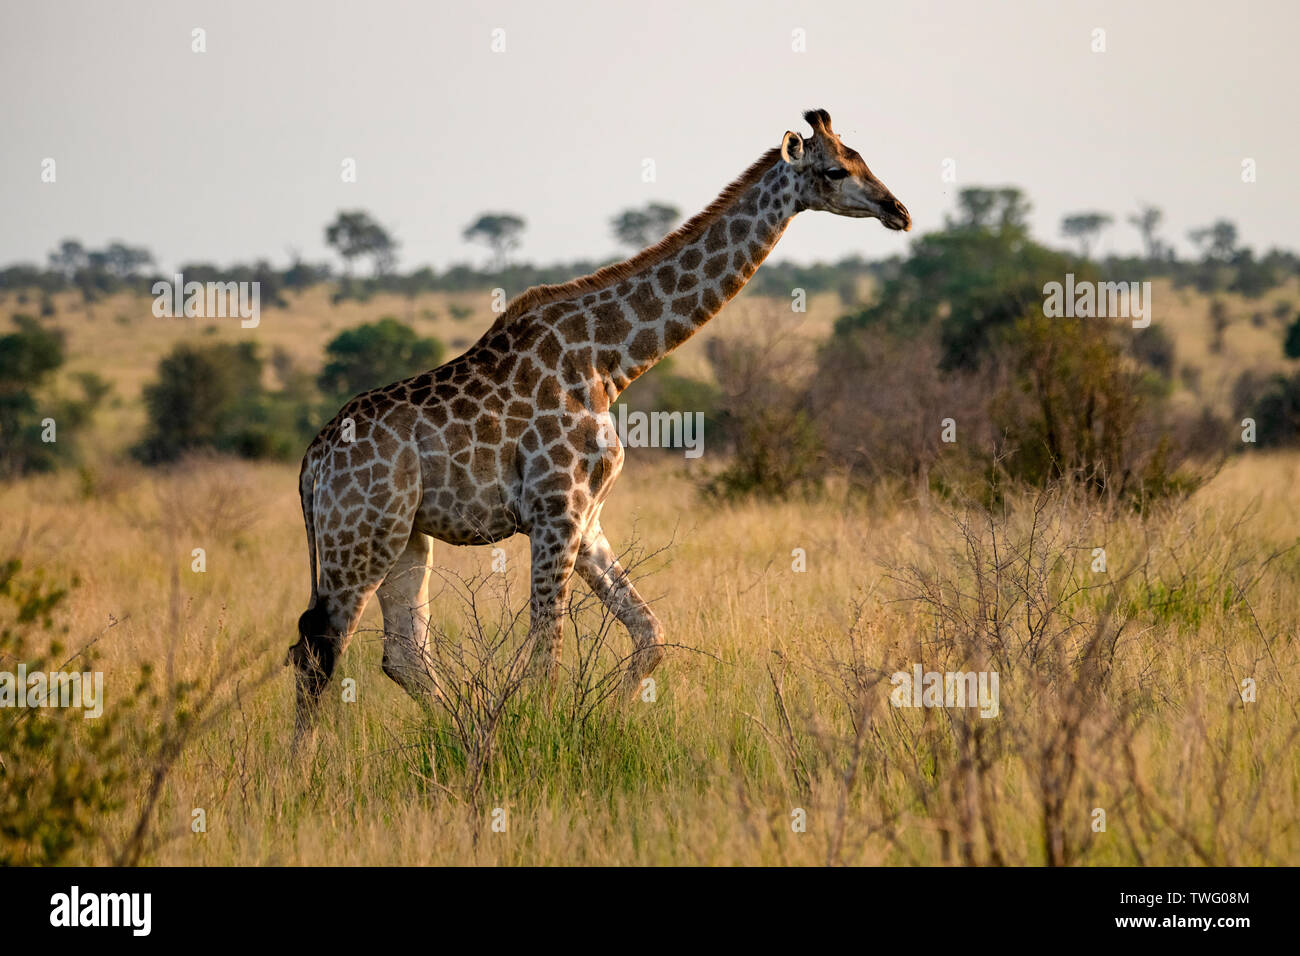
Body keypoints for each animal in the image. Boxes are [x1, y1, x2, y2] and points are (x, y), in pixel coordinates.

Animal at [285, 109, 910, 736]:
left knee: (403, 653)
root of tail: (312, 462)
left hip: (404, 536)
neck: (609, 362)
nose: (899, 211)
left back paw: (465, 738)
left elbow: (650, 633)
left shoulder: (587, 518)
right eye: (835, 171)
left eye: (862, 158)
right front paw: (540, 740)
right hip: (359, 535)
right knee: (319, 648)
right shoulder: (554, 512)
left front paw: (607, 715)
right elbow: (548, 653)